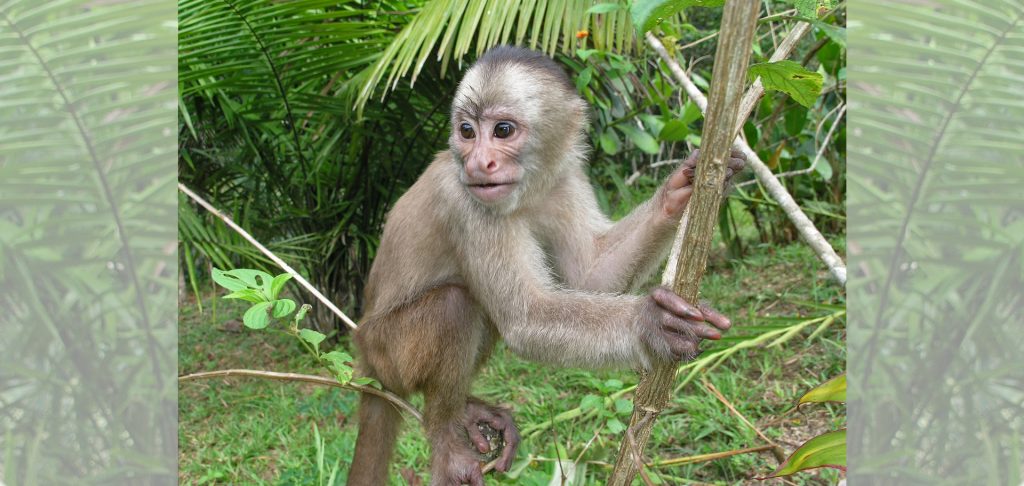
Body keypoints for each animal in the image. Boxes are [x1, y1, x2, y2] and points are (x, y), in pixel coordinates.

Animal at [348, 46, 745, 486]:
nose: (478, 162)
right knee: (457, 303)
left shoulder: (566, 180)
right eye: (467, 132)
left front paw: (681, 188)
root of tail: (363, 353)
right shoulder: (467, 201)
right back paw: (446, 435)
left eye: (502, 130)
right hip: (388, 354)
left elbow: (592, 275)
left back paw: (467, 409)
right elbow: (526, 319)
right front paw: (650, 323)